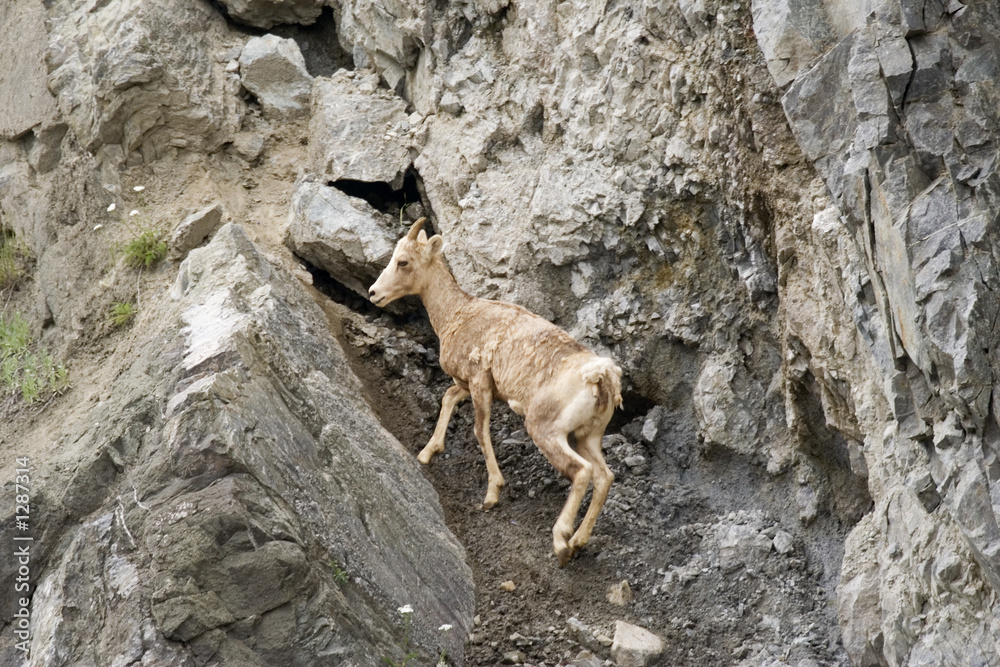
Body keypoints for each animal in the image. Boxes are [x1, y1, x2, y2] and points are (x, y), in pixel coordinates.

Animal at [369, 218, 623, 566]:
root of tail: (600, 376)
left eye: (403, 262)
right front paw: (427, 452)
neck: (456, 314)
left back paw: (561, 542)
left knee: (582, 472)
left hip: (547, 431)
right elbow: (448, 398)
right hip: (588, 436)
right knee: (604, 476)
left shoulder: (478, 383)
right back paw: (579, 542)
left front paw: (492, 494)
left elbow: (480, 430)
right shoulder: (470, 385)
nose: (373, 293)